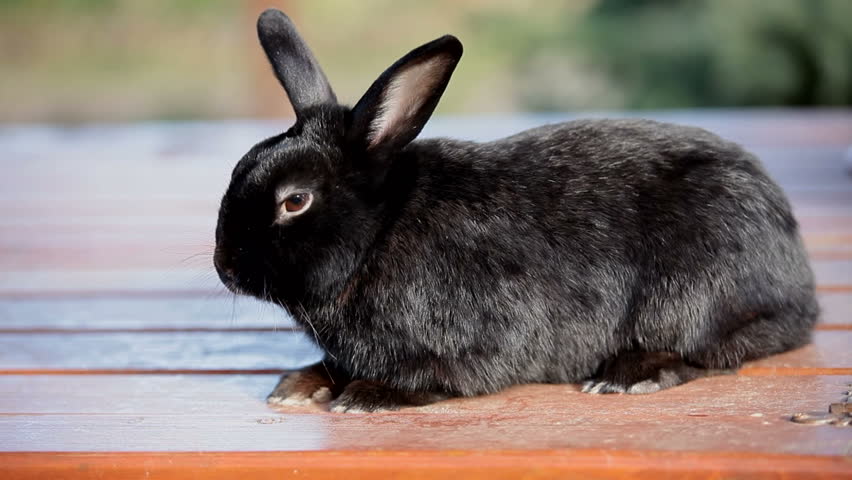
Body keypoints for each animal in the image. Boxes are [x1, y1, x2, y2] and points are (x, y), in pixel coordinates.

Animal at [213, 9, 819, 413]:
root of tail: (798, 281)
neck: (380, 233)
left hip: (694, 294)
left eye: (295, 201)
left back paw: (627, 377)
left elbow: (436, 378)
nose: (225, 267)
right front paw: (298, 385)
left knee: (704, 351)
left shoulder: (471, 344)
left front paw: (366, 395)